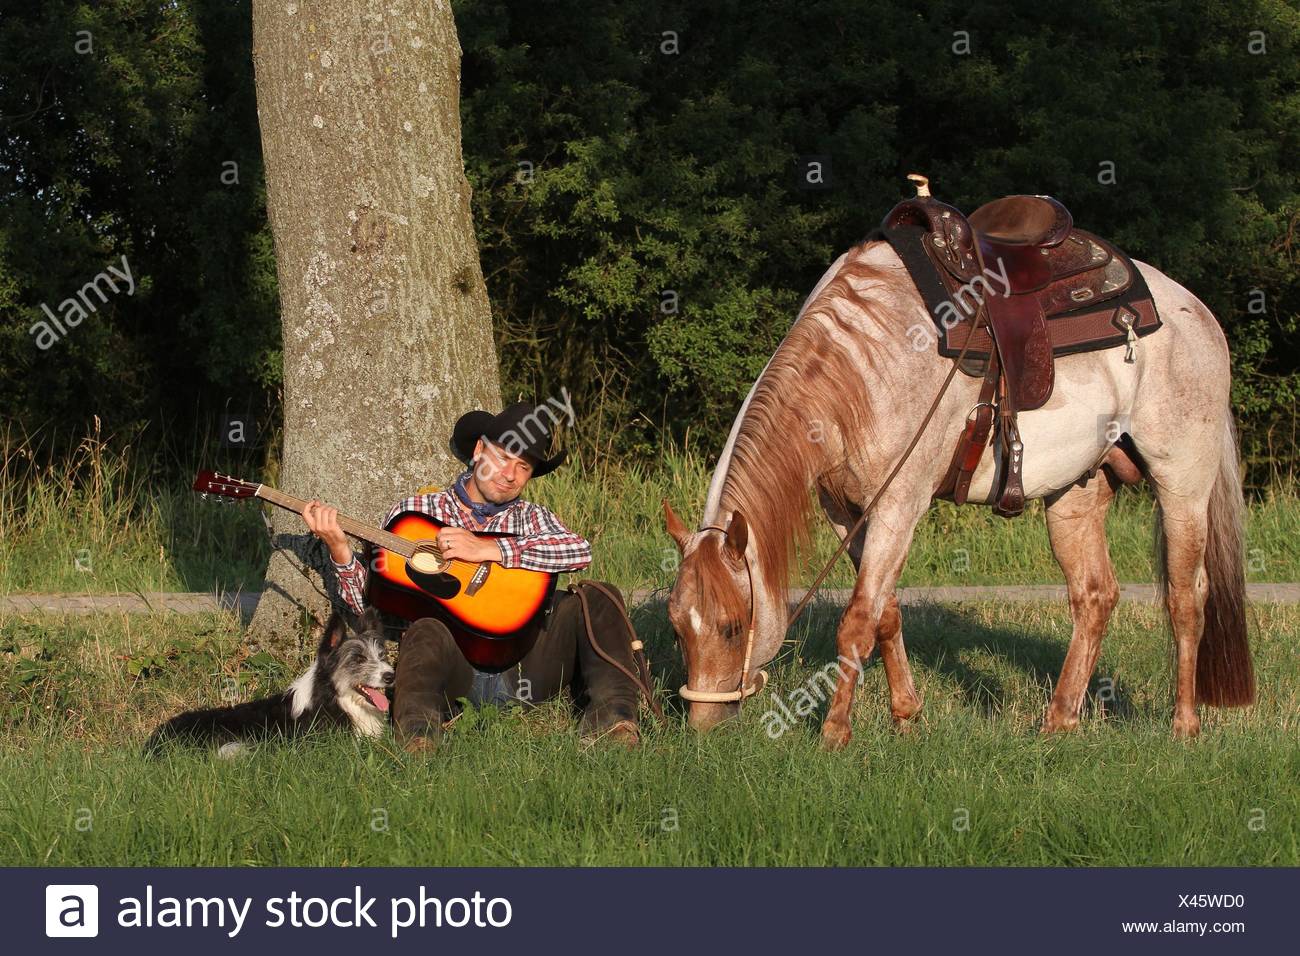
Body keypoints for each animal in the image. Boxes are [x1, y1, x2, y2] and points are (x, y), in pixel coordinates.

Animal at [663, 209, 1254, 746]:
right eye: (676, 626)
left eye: (732, 626)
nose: (703, 726)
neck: (864, 363)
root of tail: (1198, 314)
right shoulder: (847, 512)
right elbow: (885, 613)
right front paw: (906, 716)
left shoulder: (900, 504)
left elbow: (857, 619)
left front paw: (834, 732)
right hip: (1076, 492)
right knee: (1094, 595)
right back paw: (1058, 721)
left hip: (1183, 485)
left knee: (1185, 597)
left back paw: (1184, 725)